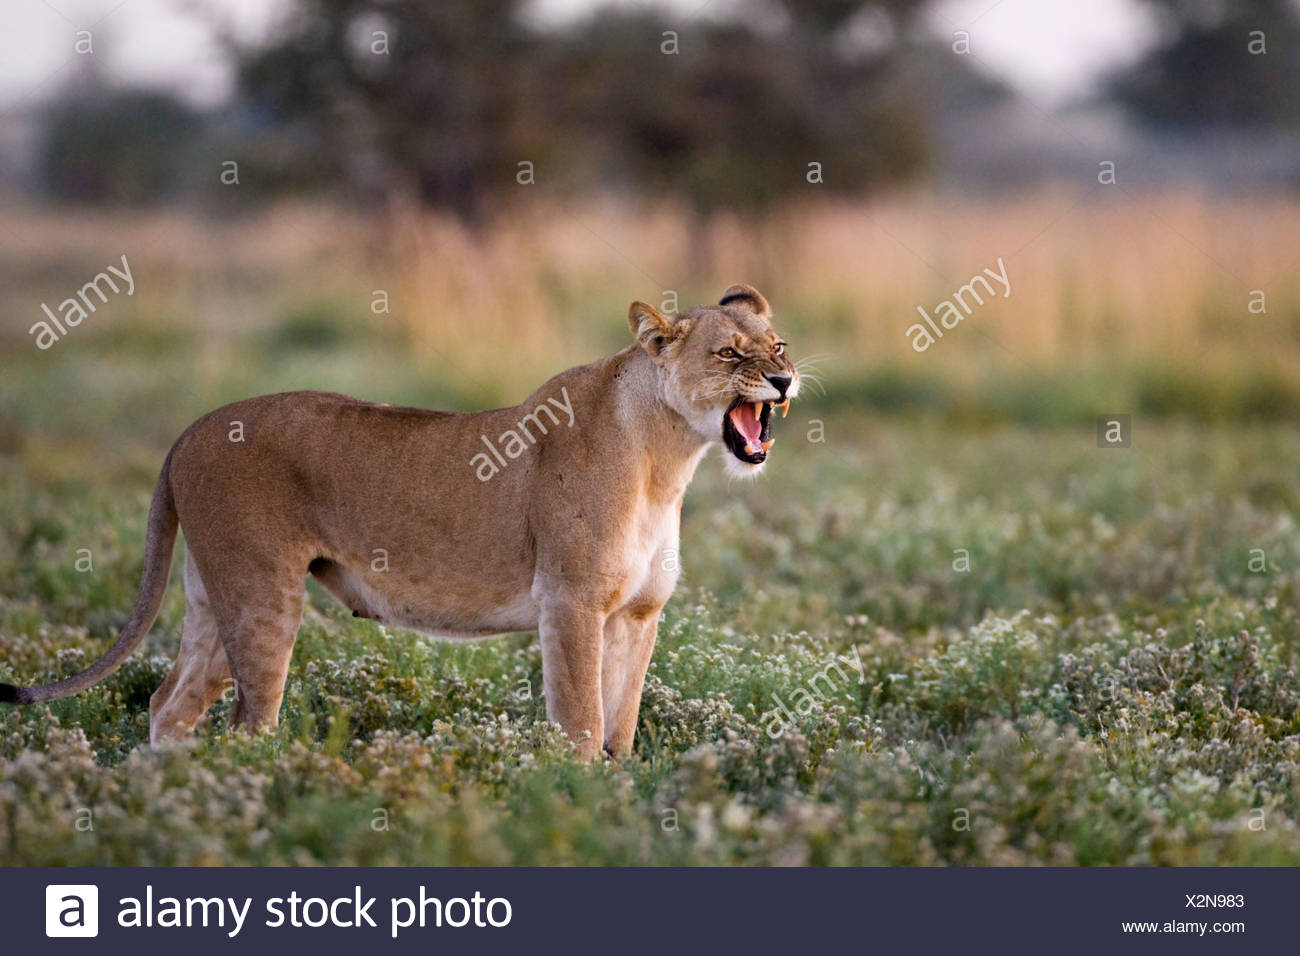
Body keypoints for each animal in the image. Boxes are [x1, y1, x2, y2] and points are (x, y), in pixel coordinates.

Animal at [0, 284, 799, 759]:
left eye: (779, 346)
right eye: (729, 353)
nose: (785, 380)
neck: (668, 461)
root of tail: (188, 432)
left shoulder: (637, 615)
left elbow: (621, 727)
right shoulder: (569, 603)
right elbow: (580, 722)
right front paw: (579, 800)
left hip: (209, 596)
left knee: (169, 707)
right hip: (262, 596)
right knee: (247, 724)